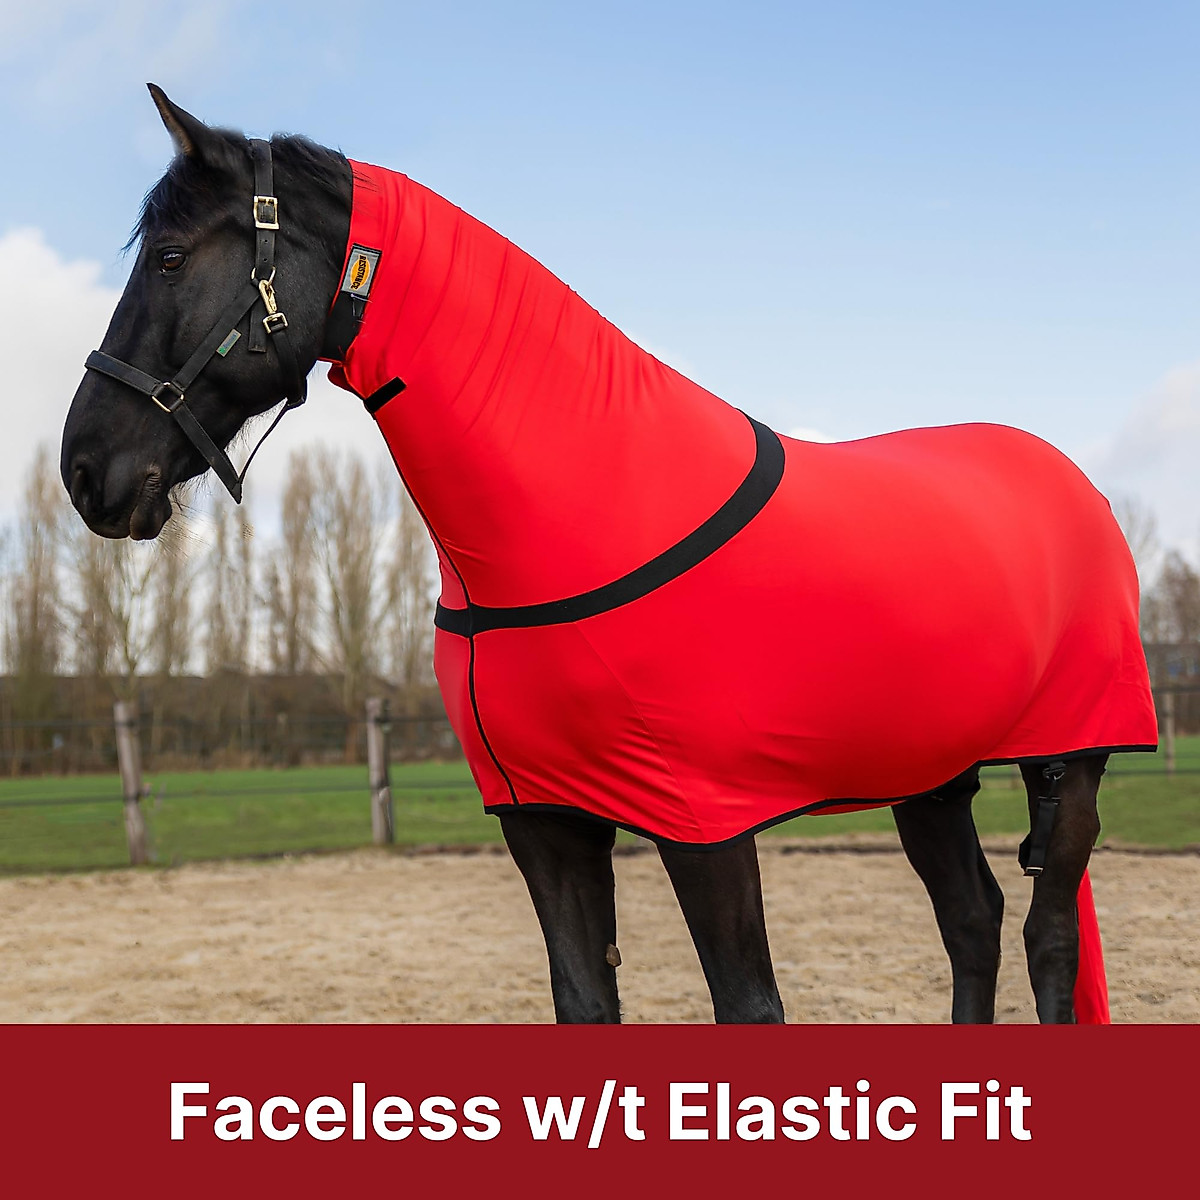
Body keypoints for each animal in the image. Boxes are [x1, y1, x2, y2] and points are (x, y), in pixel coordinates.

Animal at [60, 86, 1157, 1024]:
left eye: (168, 256)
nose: (85, 470)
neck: (579, 507)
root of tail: (1068, 480)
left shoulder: (706, 828)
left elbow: (750, 1006)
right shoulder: (543, 822)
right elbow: (586, 1002)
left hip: (1073, 762)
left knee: (1048, 942)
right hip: (929, 771)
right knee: (971, 922)